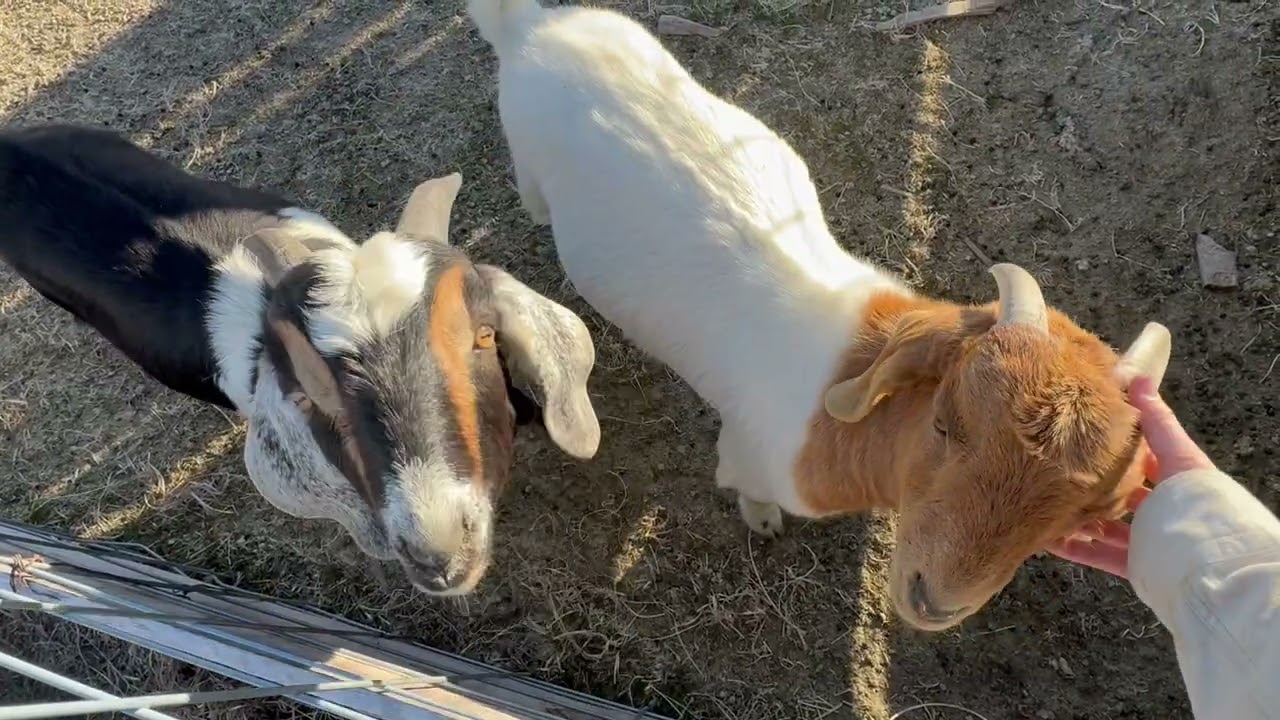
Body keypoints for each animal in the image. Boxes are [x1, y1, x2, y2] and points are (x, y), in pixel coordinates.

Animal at [467, 0, 1172, 630]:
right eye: (945, 424)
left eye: (1092, 511)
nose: (933, 602)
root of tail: (528, 24)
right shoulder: (749, 457)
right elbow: (748, 491)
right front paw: (762, 522)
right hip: (526, 156)